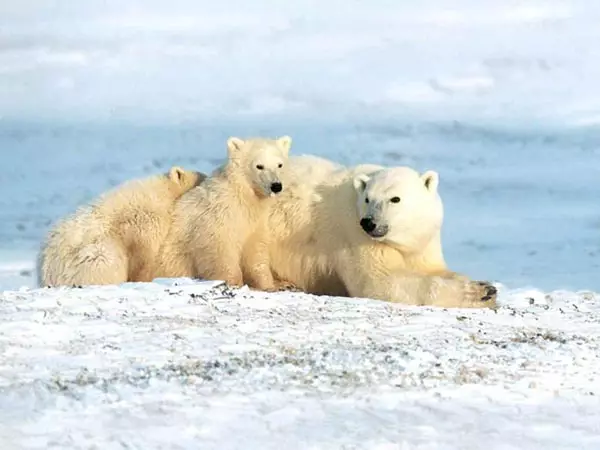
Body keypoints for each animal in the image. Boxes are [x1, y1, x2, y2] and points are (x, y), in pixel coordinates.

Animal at [157, 135, 292, 290]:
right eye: (259, 166)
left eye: (280, 164)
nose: (276, 186)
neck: (242, 197)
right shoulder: (217, 220)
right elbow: (220, 255)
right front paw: (234, 282)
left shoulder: (255, 223)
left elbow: (255, 252)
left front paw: (268, 285)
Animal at [268, 156, 496, 310]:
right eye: (368, 199)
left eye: (395, 199)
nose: (368, 222)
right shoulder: (353, 234)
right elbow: (381, 281)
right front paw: (479, 292)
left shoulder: (423, 242)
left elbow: (431, 268)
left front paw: (482, 286)